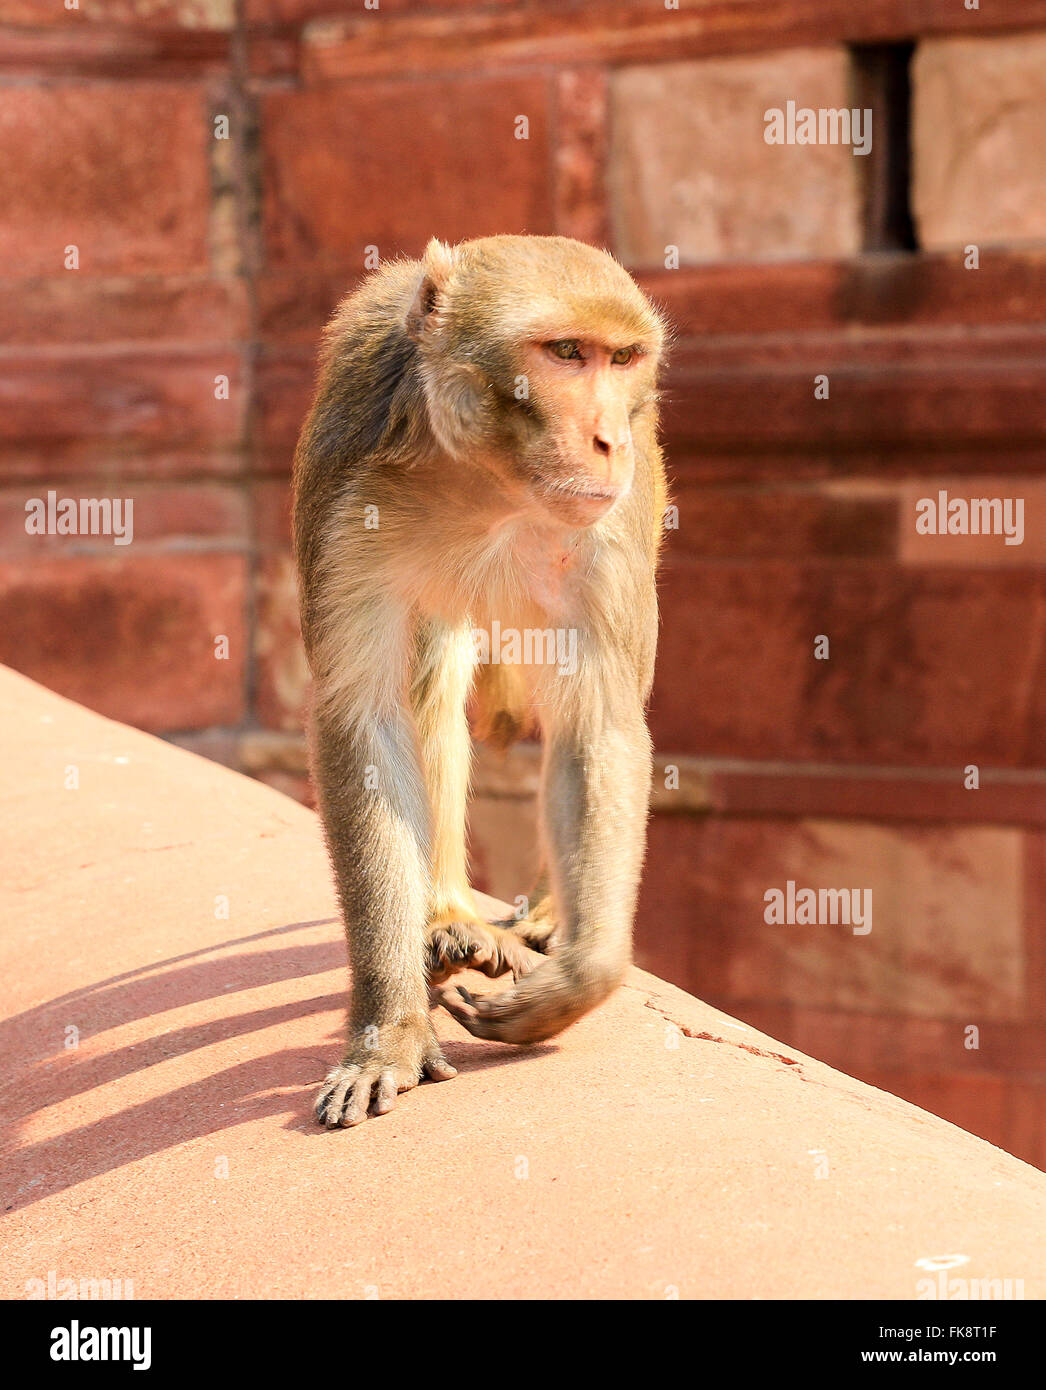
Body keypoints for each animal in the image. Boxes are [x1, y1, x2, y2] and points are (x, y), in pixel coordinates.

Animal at [292, 234, 668, 1128]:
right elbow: (366, 720)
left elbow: (597, 727)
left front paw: (579, 976)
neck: (488, 483)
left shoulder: (609, 534)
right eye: (565, 353)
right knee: (427, 680)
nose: (610, 439)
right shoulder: (347, 497)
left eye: (622, 359)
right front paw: (390, 1027)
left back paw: (546, 911)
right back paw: (443, 916)